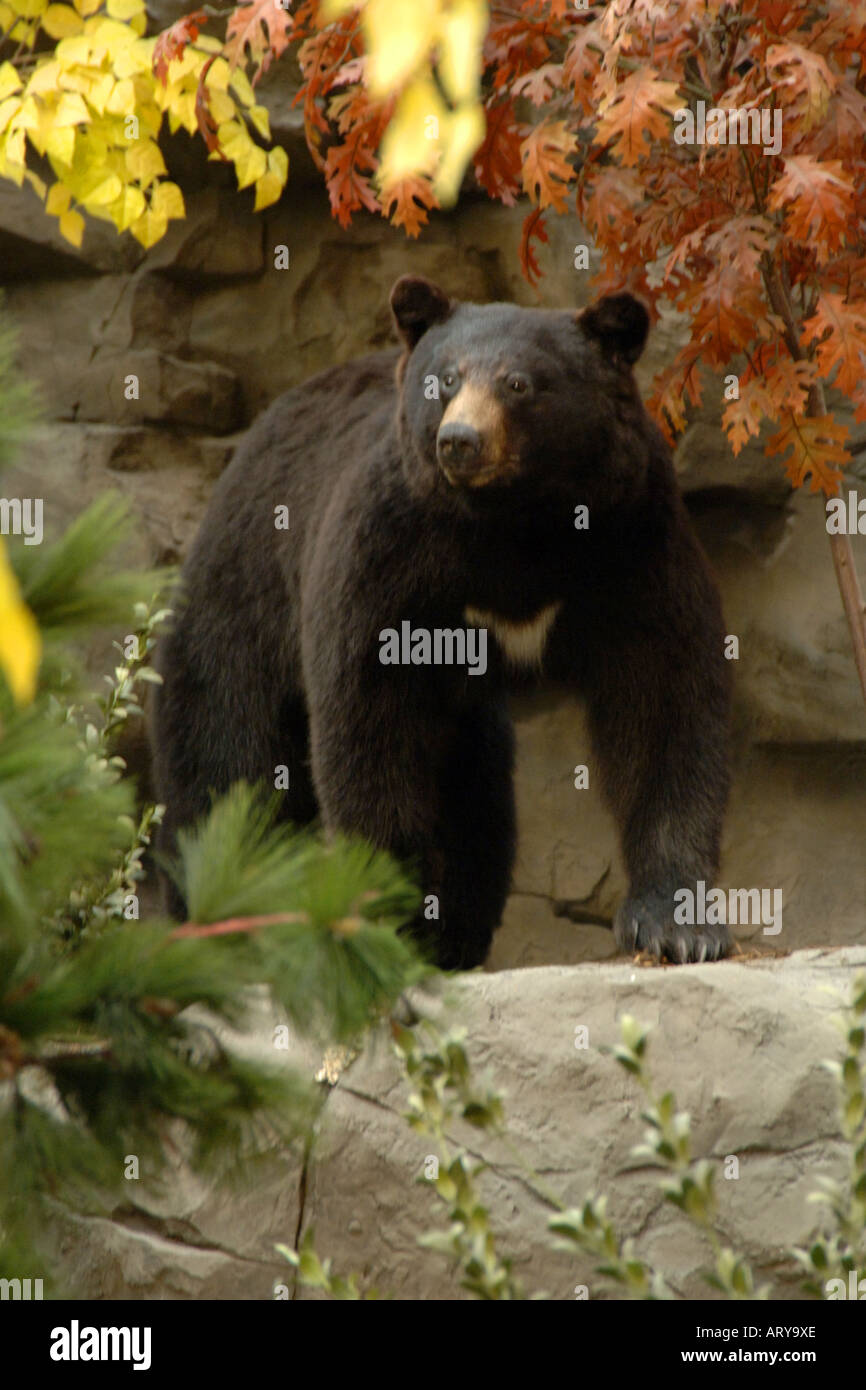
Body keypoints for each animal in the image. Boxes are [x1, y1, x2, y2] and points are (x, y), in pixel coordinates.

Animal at [150, 276, 732, 968]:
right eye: (445, 380)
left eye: (519, 384)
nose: (459, 441)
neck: (517, 524)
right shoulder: (393, 547)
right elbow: (371, 714)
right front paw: (388, 918)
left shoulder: (632, 536)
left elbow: (662, 694)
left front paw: (677, 925)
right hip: (249, 586)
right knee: (225, 749)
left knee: (475, 793)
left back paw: (457, 931)